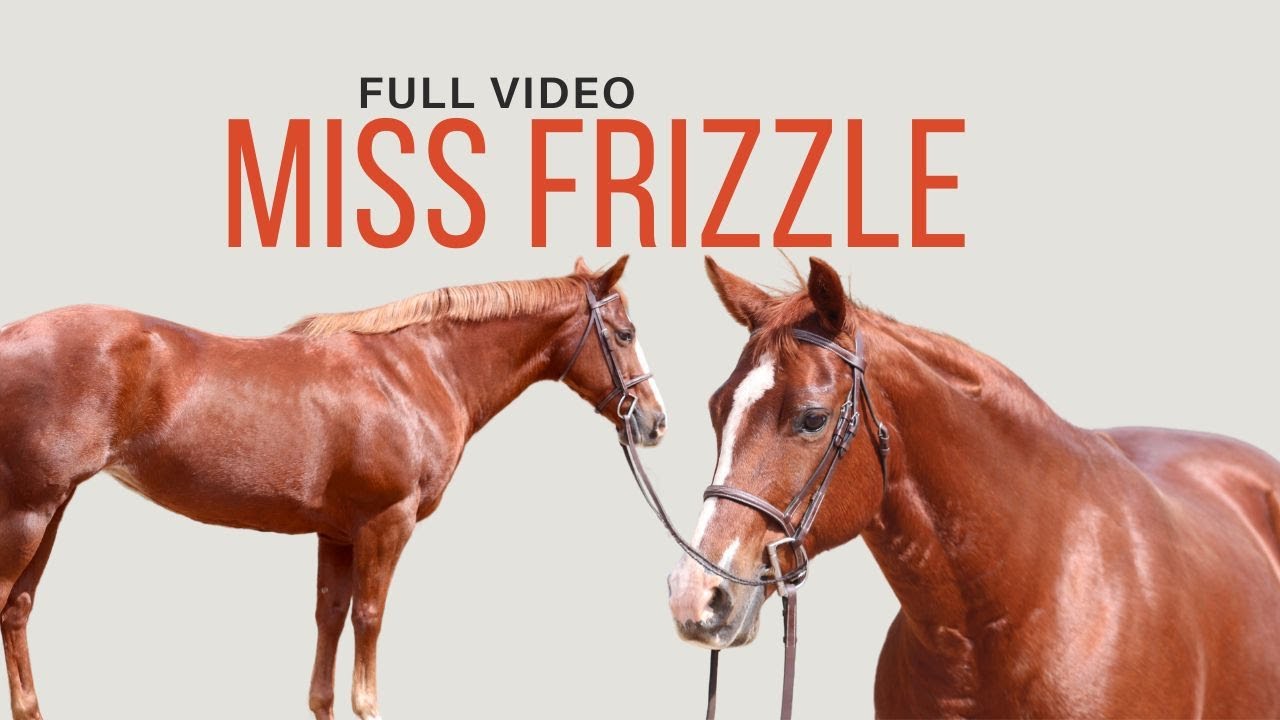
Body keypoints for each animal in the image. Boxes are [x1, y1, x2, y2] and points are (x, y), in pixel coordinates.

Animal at [0, 256, 665, 720]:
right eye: (625, 333)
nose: (655, 422)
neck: (414, 370)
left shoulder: (338, 533)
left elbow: (329, 622)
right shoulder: (385, 524)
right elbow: (368, 621)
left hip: (51, 510)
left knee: (19, 611)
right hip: (28, 512)